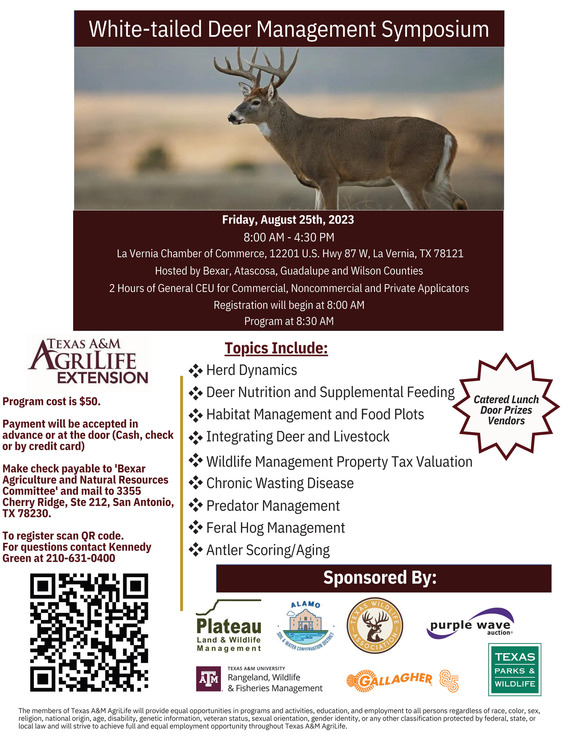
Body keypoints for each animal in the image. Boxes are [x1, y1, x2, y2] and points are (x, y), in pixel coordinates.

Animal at [214, 48, 468, 211]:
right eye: (244, 98)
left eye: (256, 102)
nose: (231, 116)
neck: (297, 137)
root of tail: (449, 135)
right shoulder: (316, 185)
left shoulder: (328, 176)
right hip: (436, 179)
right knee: (459, 203)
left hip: (410, 175)